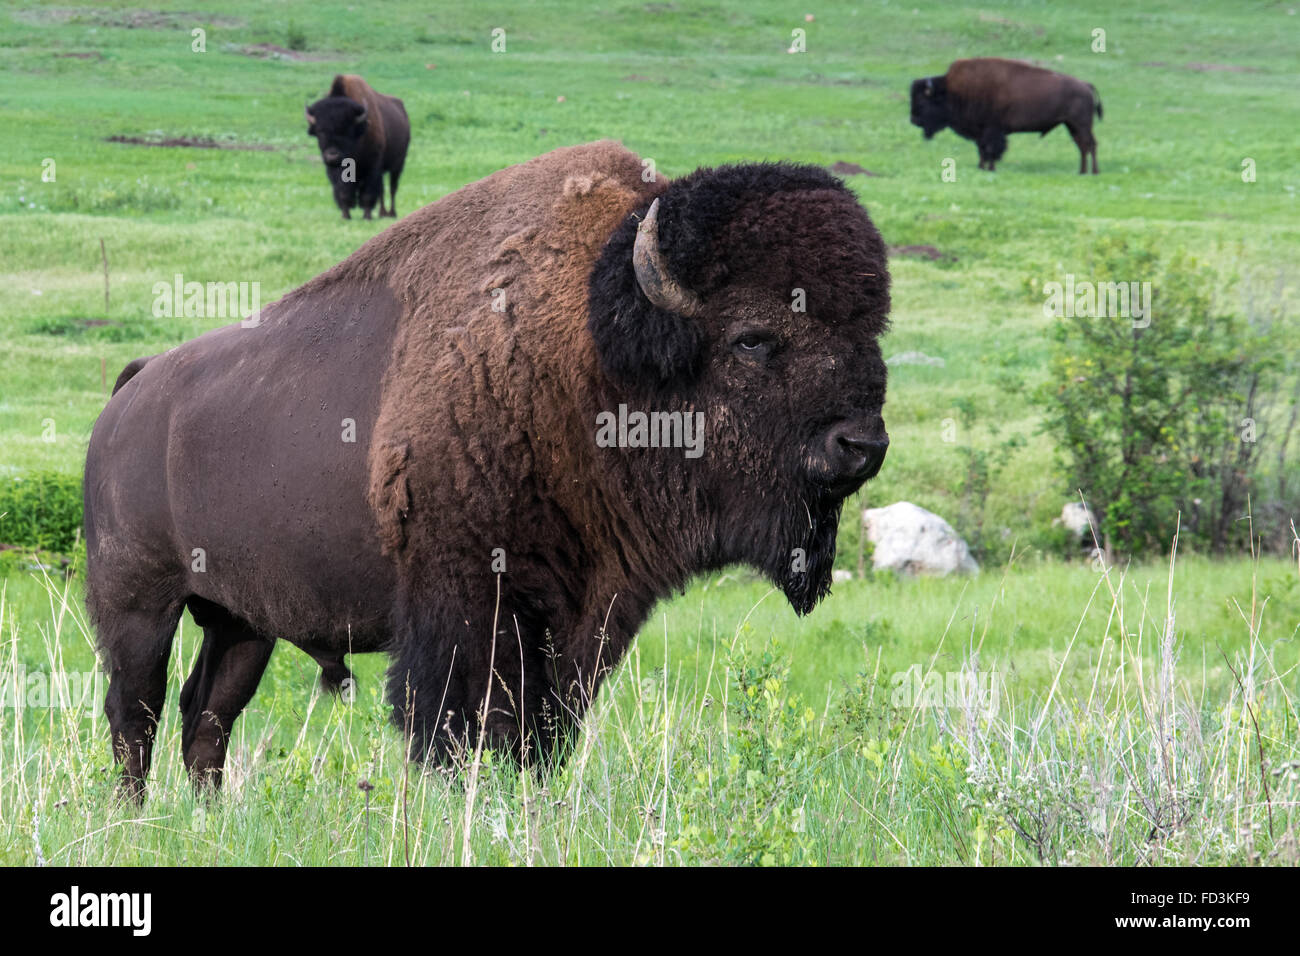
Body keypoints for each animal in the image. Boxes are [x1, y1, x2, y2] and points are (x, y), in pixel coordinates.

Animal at [84, 141, 891, 799]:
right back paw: (136, 819)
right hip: (140, 605)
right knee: (135, 713)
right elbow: (463, 723)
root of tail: (133, 390)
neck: (593, 355)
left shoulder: (579, 619)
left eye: (871, 331)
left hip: (241, 620)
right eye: (752, 338)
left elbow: (543, 730)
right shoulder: (469, 606)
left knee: (206, 715)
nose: (862, 444)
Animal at [306, 74, 410, 219]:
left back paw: (391, 213)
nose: (332, 155)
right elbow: (342, 192)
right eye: (320, 131)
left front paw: (367, 216)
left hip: (398, 165)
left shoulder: (373, 166)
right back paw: (382, 213)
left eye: (347, 130)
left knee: (392, 188)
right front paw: (345, 215)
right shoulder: (335, 171)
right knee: (383, 191)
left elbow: (368, 193)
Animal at [910, 57, 1102, 173]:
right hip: (1072, 126)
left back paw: (1093, 172)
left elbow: (991, 149)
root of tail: (1086, 85)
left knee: (1090, 145)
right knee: (1083, 146)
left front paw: (990, 168)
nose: (914, 120)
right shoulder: (981, 133)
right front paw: (981, 167)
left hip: (1081, 125)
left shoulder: (992, 130)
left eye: (922, 102)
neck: (952, 91)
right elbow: (982, 150)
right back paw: (1082, 171)